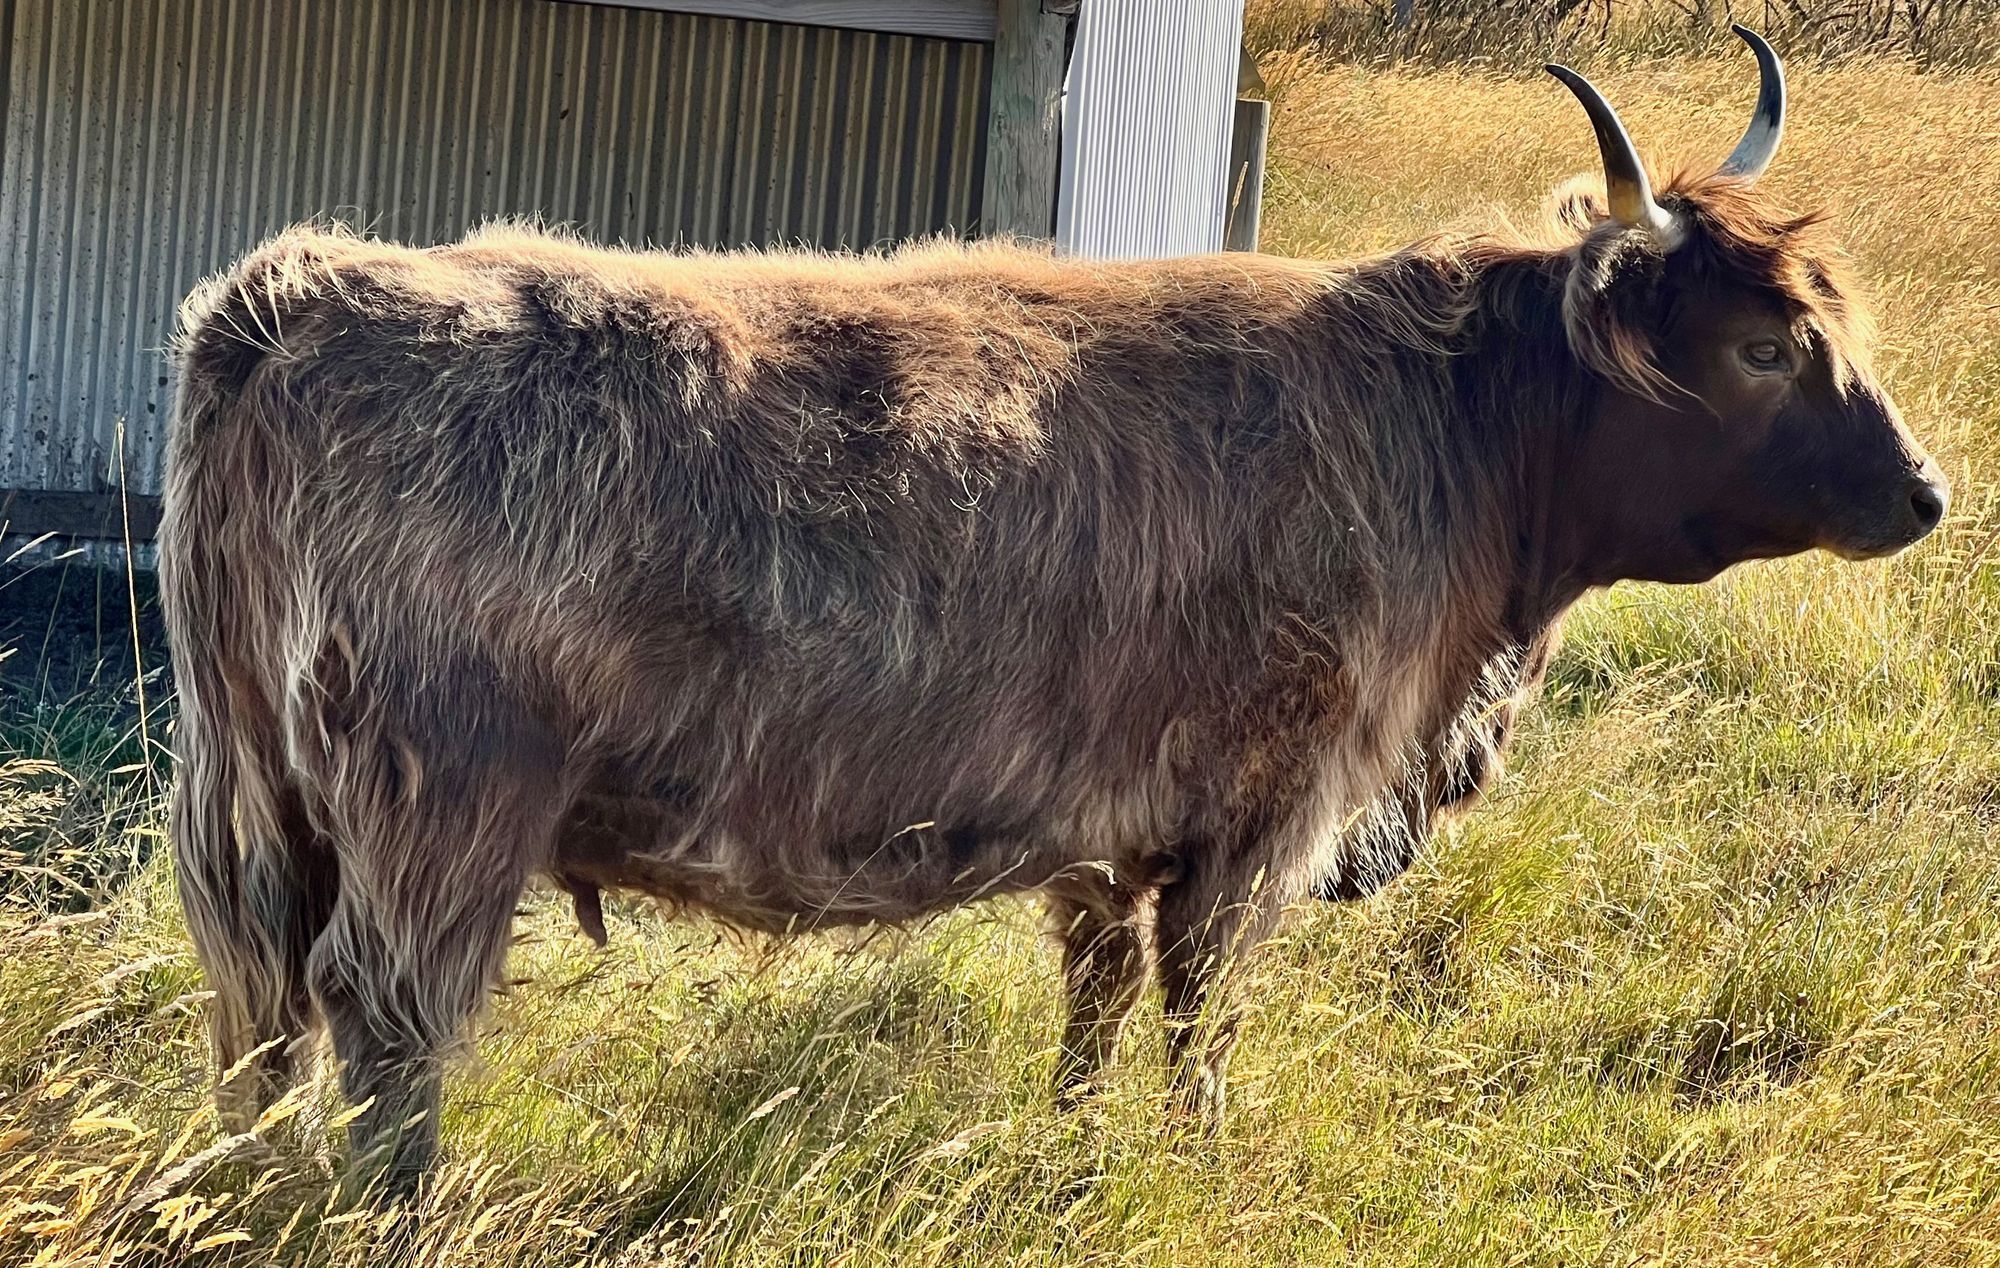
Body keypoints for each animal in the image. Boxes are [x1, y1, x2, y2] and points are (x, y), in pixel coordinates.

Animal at [161, 26, 1945, 1196]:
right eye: (1763, 348)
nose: (1927, 492)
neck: (1448, 435)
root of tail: (300, 289)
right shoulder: (1266, 809)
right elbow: (1199, 1011)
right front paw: (1198, 1163)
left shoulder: (1108, 818)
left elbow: (1096, 1002)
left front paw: (1077, 1145)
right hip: (441, 811)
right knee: (381, 1021)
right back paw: (395, 1213)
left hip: (257, 802)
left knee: (258, 1011)